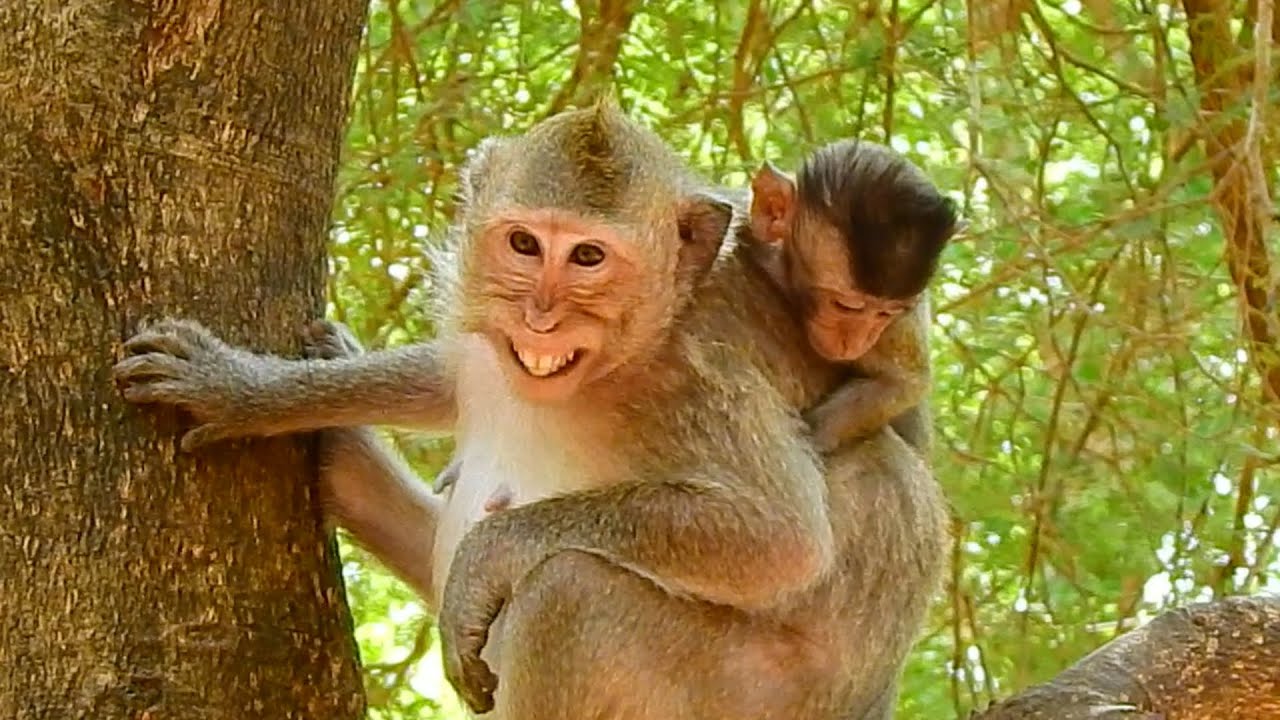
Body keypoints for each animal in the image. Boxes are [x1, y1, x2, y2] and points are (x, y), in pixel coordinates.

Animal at [747, 141, 960, 456]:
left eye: (885, 314)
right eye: (845, 306)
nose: (855, 342)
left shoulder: (898, 326)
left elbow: (906, 383)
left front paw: (818, 433)